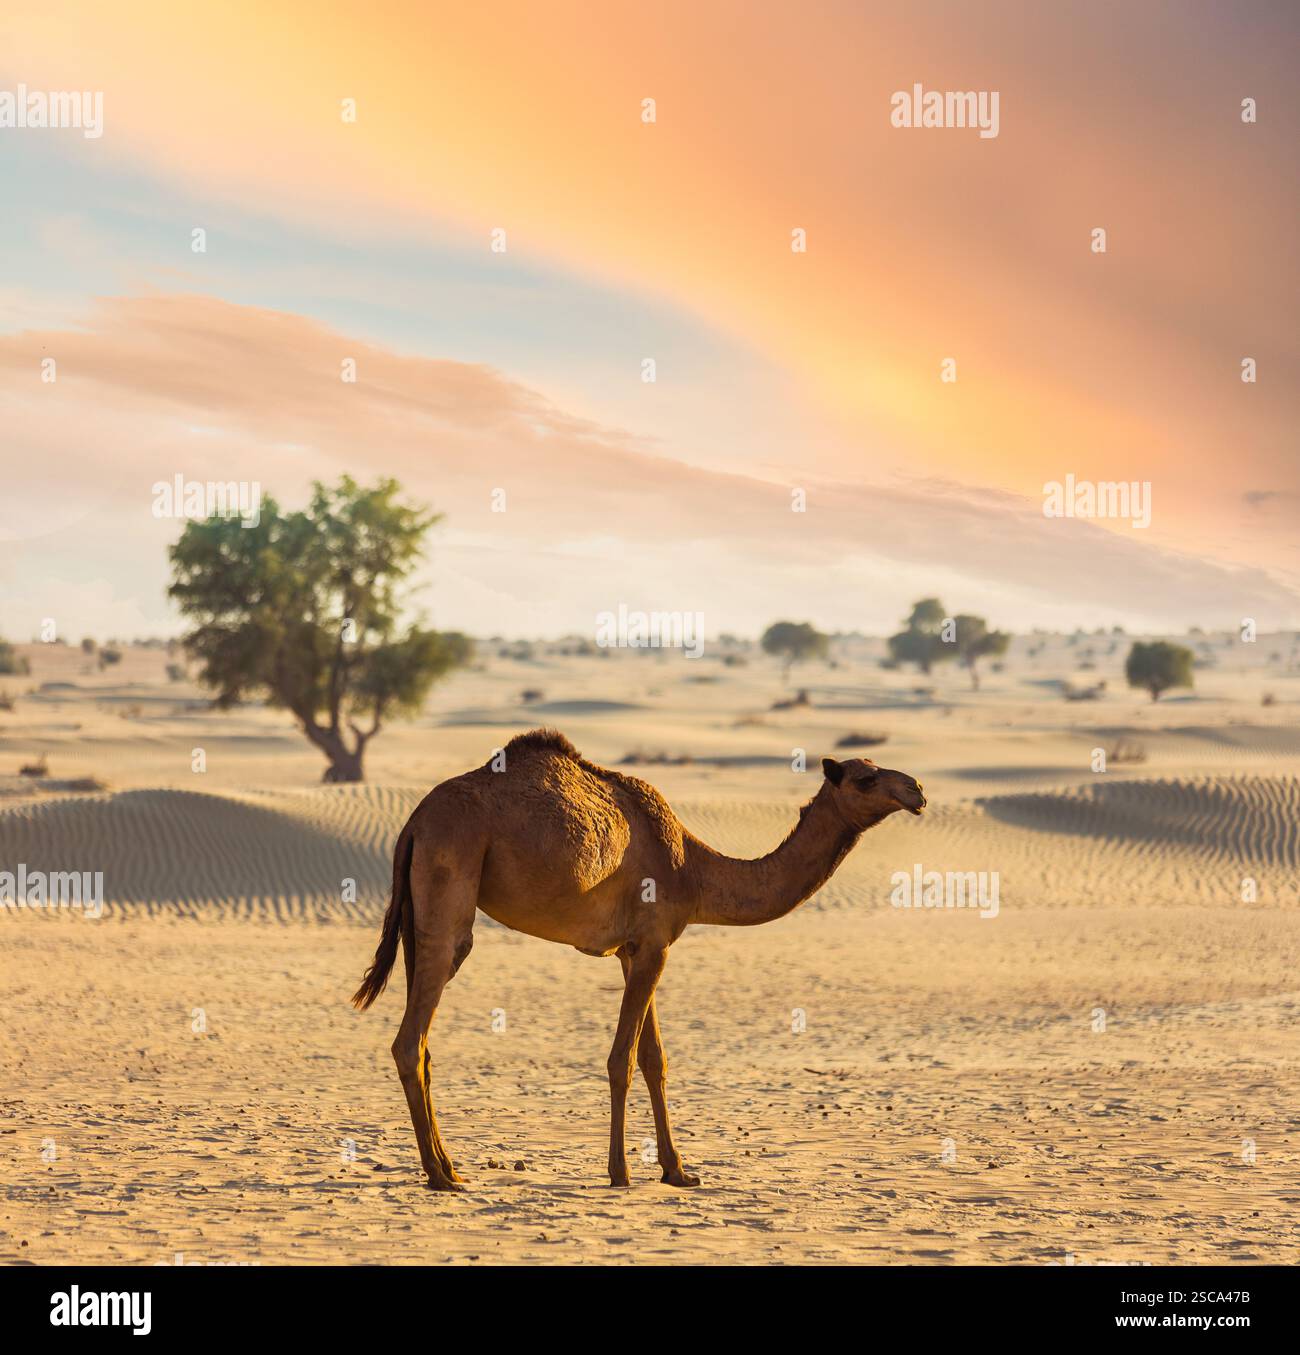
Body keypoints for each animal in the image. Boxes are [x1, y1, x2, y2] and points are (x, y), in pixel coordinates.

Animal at [352, 729, 926, 1190]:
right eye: (865, 779)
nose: (916, 790)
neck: (692, 868)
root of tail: (413, 824)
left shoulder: (634, 950)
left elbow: (655, 1059)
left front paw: (678, 1170)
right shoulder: (655, 943)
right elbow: (622, 1059)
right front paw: (621, 1172)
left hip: (417, 918)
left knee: (422, 1040)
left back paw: (448, 1166)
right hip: (451, 886)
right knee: (411, 1037)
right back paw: (439, 1175)